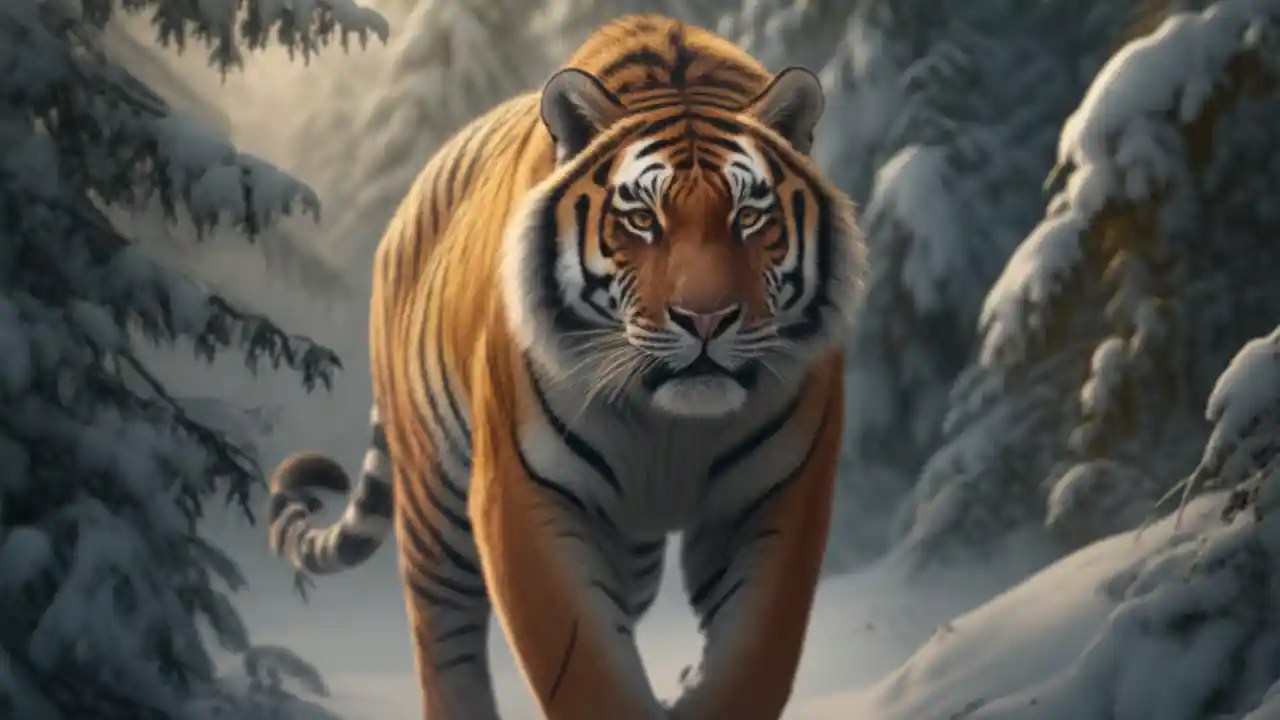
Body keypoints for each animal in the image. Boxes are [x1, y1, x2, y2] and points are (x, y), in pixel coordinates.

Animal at [266, 14, 864, 720]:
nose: (707, 318)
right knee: (445, 643)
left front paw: (696, 689)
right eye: (642, 219)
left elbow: (752, 665)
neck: (671, 427)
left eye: (748, 217)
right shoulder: (524, 497)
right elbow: (587, 673)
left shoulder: (778, 495)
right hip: (437, 511)